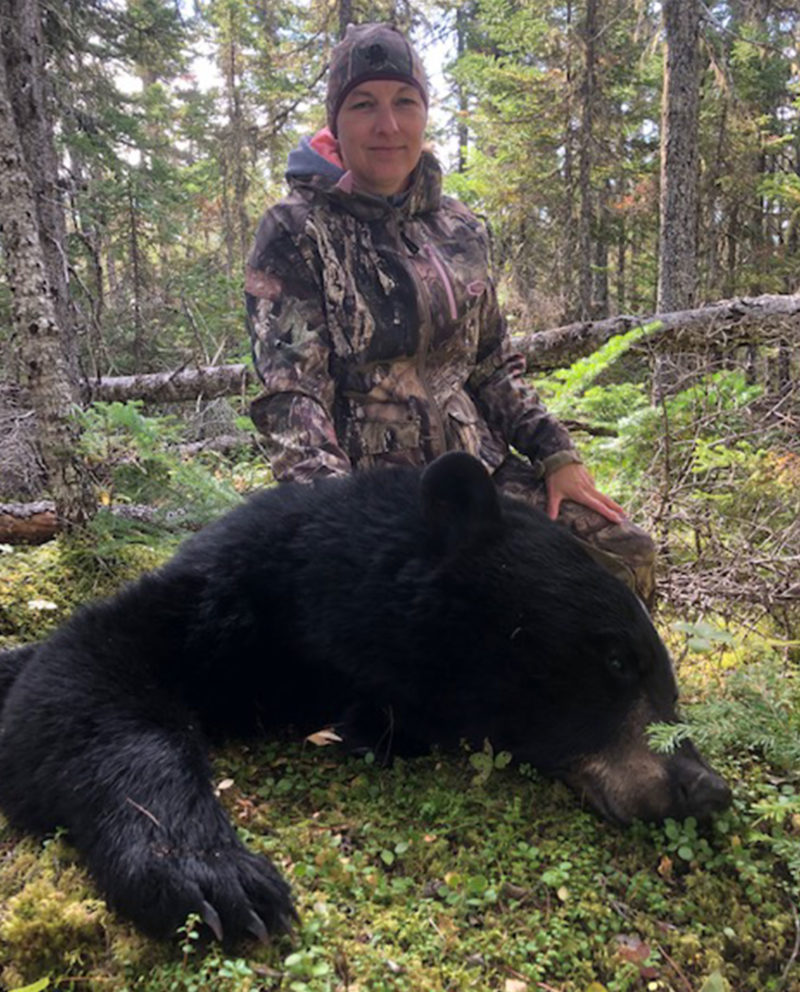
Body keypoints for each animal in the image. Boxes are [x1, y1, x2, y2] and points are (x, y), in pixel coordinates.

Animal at [0, 452, 730, 945]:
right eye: (617, 659)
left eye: (668, 683)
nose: (707, 786)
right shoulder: (223, 600)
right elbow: (82, 678)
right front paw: (213, 875)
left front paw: (368, 730)